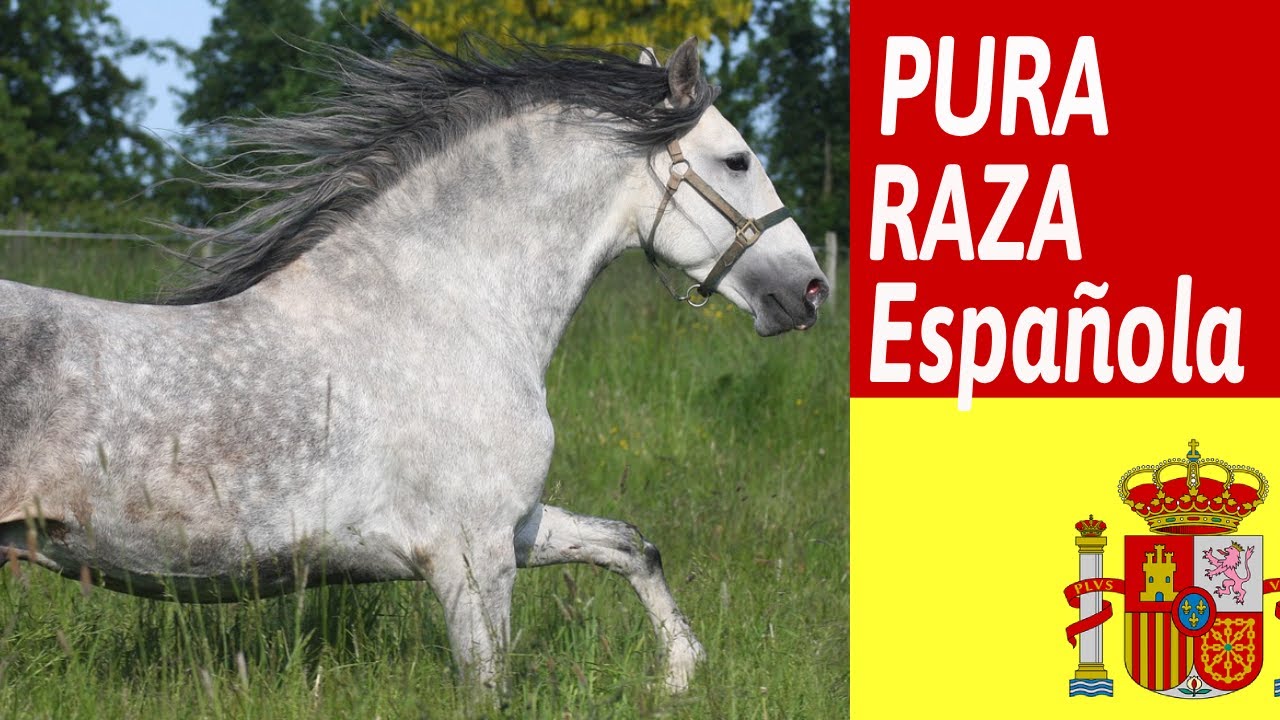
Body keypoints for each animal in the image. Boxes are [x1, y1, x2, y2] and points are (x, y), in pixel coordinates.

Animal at [0, 36, 829, 693]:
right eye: (738, 159)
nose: (810, 290)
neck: (446, 309)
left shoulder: (511, 527)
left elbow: (630, 545)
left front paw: (681, 673)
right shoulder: (471, 555)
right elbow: (489, 683)